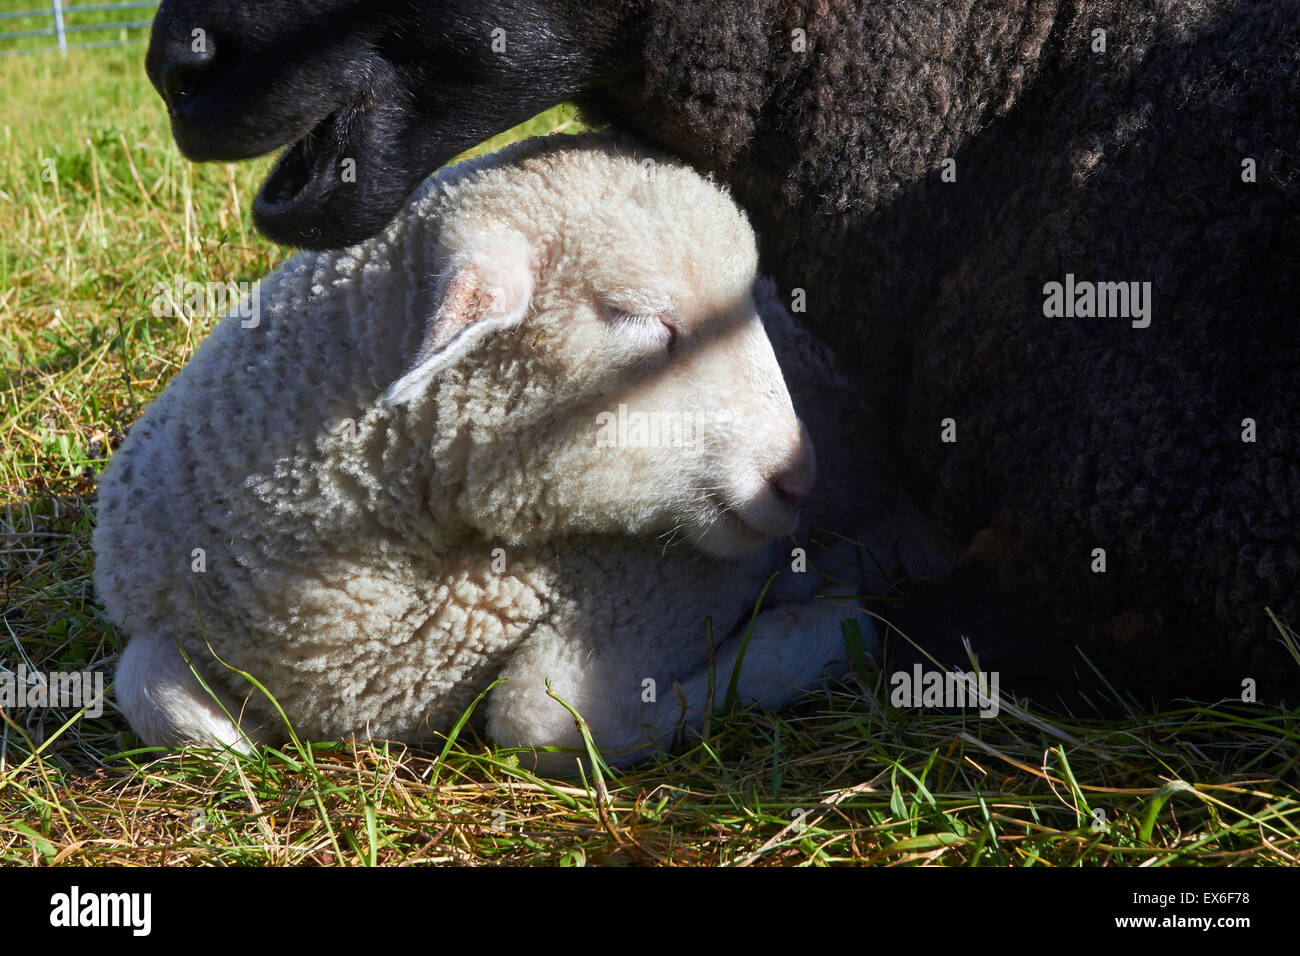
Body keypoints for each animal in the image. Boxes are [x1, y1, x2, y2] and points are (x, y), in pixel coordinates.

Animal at [93, 133, 906, 768]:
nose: (796, 478)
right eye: (638, 317)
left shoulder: (662, 581)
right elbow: (161, 702)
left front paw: (818, 632)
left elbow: (534, 716)